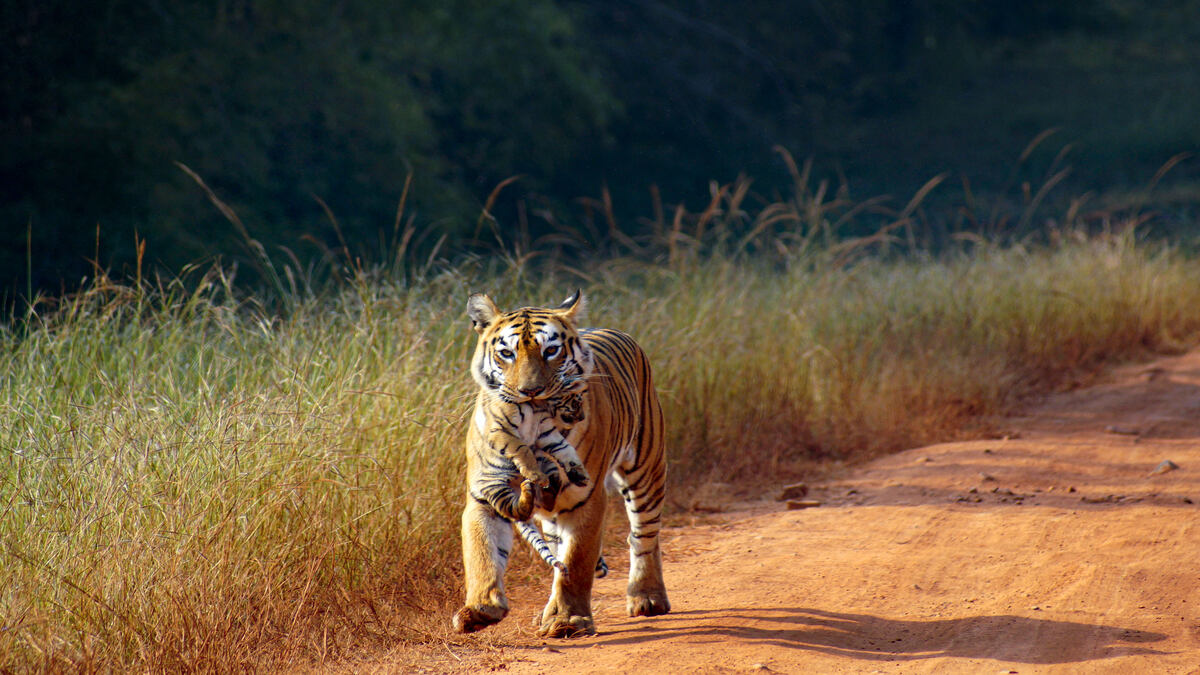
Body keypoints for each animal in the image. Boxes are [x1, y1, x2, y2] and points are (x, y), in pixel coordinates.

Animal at [453, 290, 670, 638]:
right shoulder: (483, 495)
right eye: (506, 353)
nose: (530, 392)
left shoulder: (587, 499)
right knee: (555, 546)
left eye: (551, 351)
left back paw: (647, 597)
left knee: (643, 535)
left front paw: (568, 619)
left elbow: (577, 561)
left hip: (646, 468)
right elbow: (482, 553)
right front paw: (480, 609)